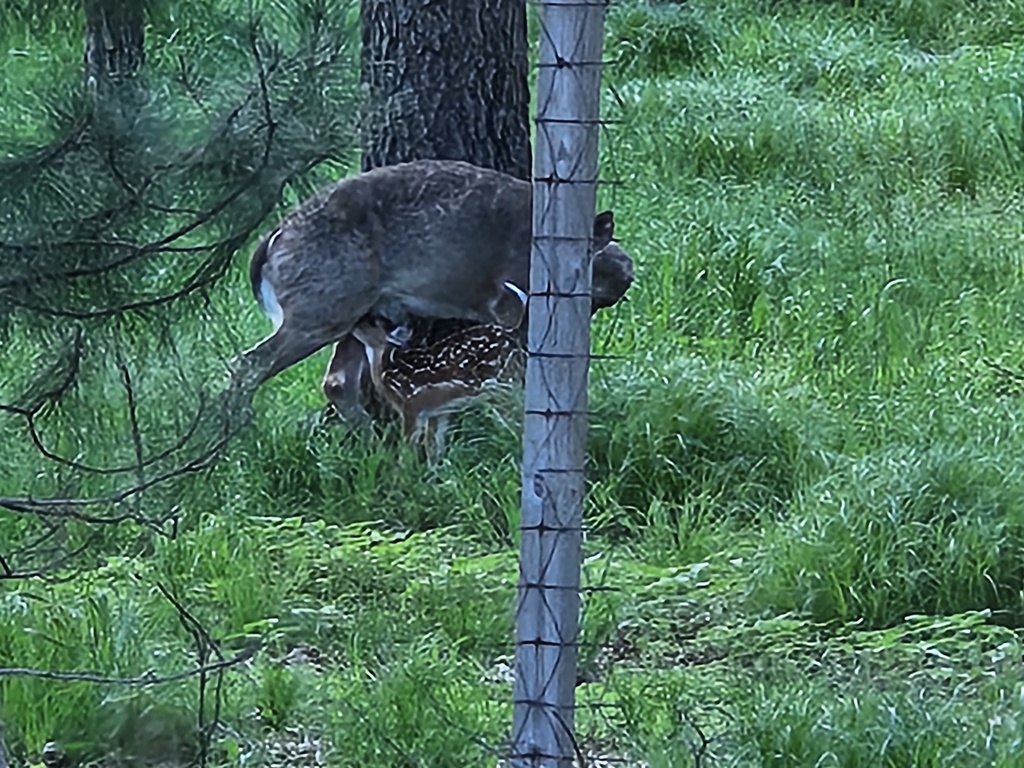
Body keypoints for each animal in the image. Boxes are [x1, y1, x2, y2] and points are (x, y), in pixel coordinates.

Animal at [232, 159, 634, 422]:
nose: (626, 273)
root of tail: (272, 241)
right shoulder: (505, 297)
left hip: (354, 310)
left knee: (337, 381)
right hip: (319, 307)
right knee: (249, 364)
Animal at [351, 281, 529, 463]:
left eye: (373, 322)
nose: (354, 324)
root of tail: (513, 335)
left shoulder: (410, 406)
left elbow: (408, 448)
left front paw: (404, 469)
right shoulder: (438, 411)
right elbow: (434, 446)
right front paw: (437, 468)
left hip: (504, 384)